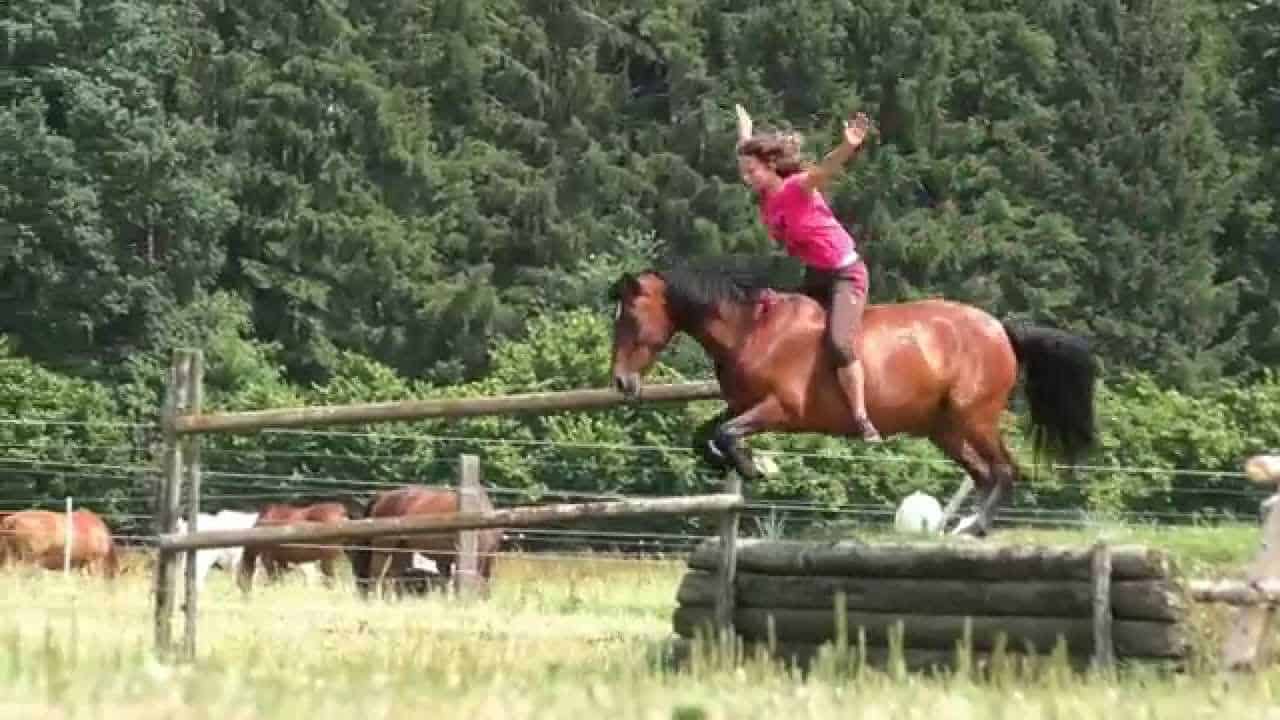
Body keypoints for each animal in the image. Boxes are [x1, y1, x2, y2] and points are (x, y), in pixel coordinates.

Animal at [347, 485, 504, 599]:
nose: (360, 590)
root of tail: (383, 496)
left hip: (401, 550)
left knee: (392, 576)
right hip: (384, 548)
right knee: (378, 573)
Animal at [608, 261, 1096, 537]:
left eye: (630, 318)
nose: (621, 383)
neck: (751, 332)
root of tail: (1001, 330)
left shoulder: (780, 410)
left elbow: (726, 433)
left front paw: (752, 465)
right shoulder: (743, 405)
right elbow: (706, 433)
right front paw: (737, 461)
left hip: (974, 417)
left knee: (1005, 471)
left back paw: (973, 527)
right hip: (944, 429)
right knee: (983, 474)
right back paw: (962, 527)